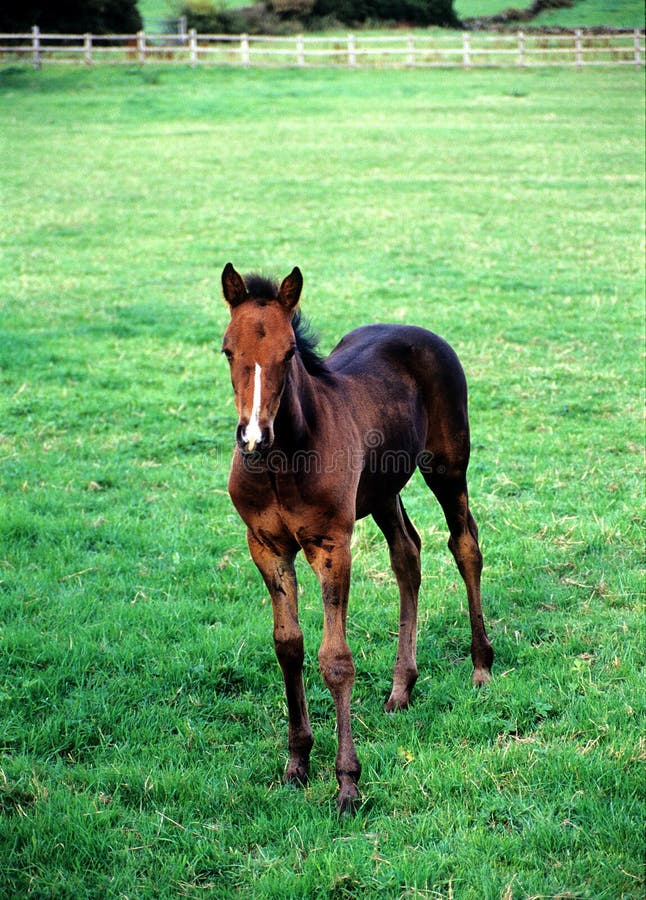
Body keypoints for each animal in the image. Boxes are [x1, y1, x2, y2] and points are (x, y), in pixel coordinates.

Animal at [221, 263, 493, 813]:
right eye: (226, 349)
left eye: (289, 353)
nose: (253, 437)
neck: (281, 463)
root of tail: (416, 330)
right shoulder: (265, 546)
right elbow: (289, 646)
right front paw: (297, 762)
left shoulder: (332, 546)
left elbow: (336, 660)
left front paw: (347, 782)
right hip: (383, 490)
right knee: (407, 554)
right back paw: (401, 689)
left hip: (447, 466)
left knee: (465, 546)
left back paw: (480, 666)